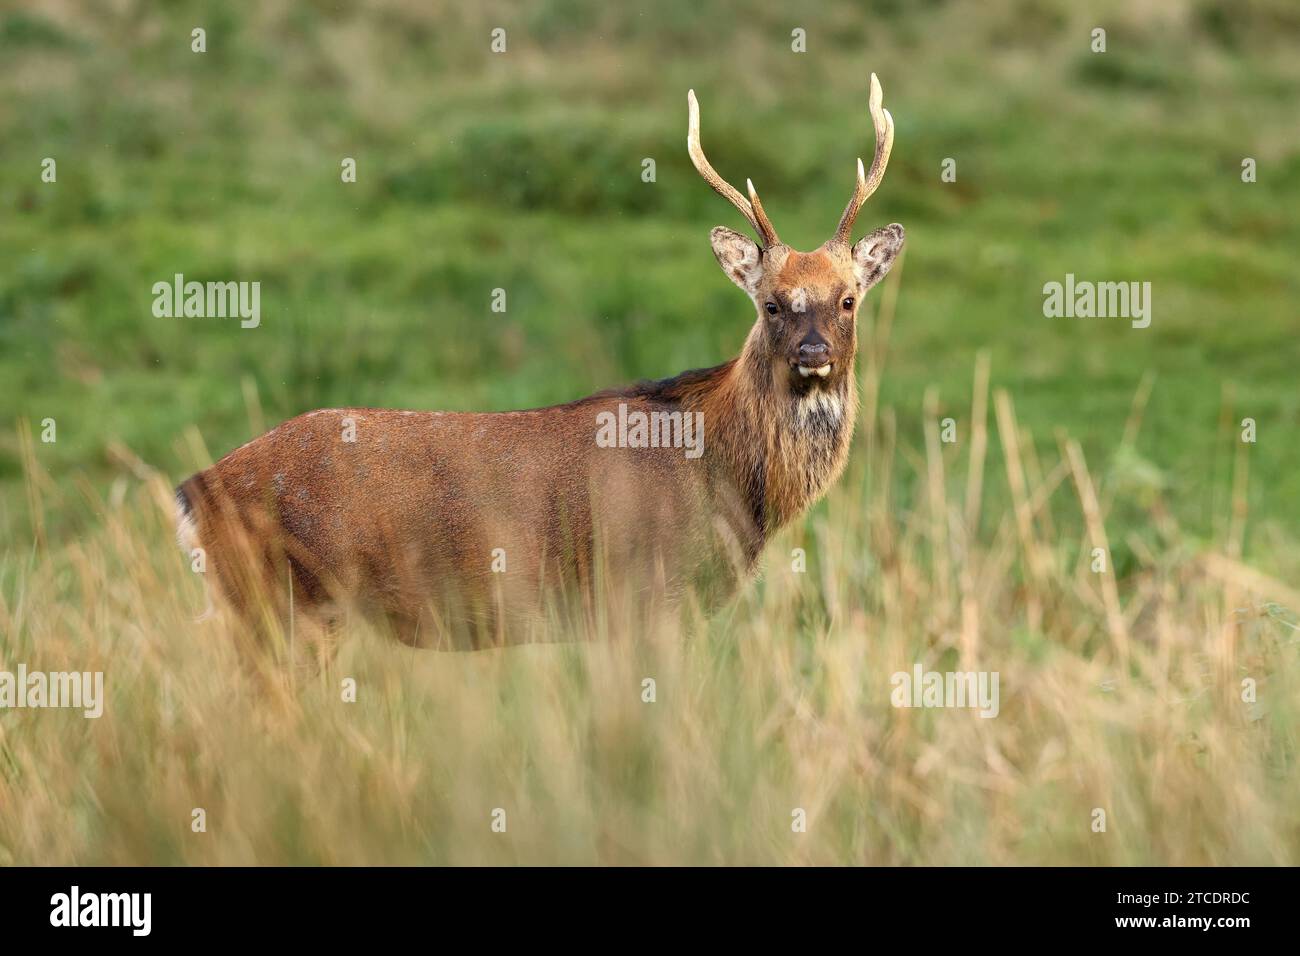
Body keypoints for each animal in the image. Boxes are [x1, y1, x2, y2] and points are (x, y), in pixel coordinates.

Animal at [175, 74, 904, 652]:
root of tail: (194, 491)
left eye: (847, 299)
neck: (725, 480)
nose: (814, 354)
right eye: (772, 304)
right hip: (288, 606)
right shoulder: (644, 593)